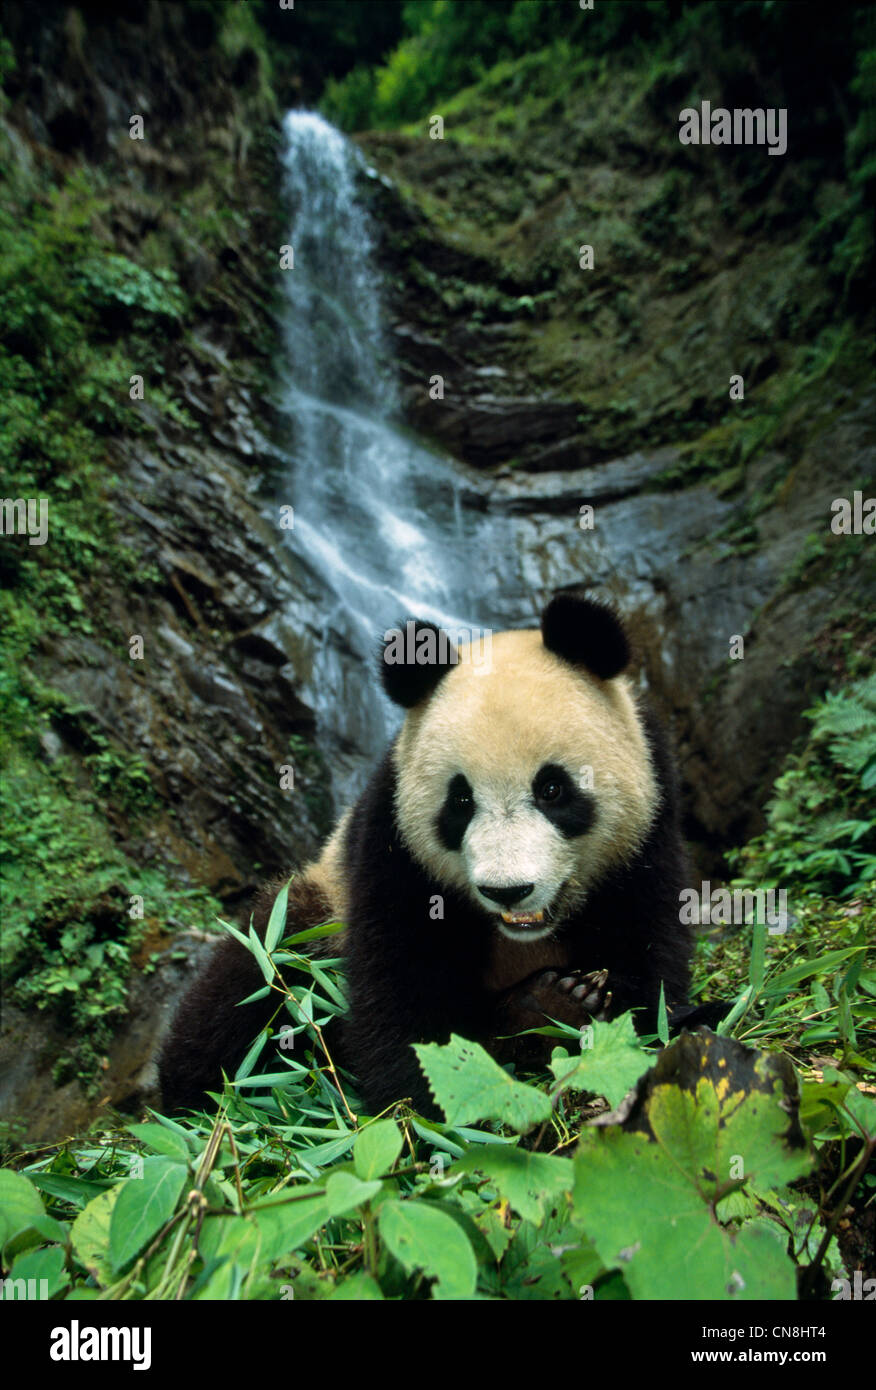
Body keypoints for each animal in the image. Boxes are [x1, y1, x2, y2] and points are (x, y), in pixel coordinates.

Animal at [159, 588, 712, 1117]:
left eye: (552, 789)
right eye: (460, 801)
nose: (508, 890)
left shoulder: (649, 826)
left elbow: (649, 954)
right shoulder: (393, 843)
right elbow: (401, 989)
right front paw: (426, 1104)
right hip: (317, 914)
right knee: (257, 980)